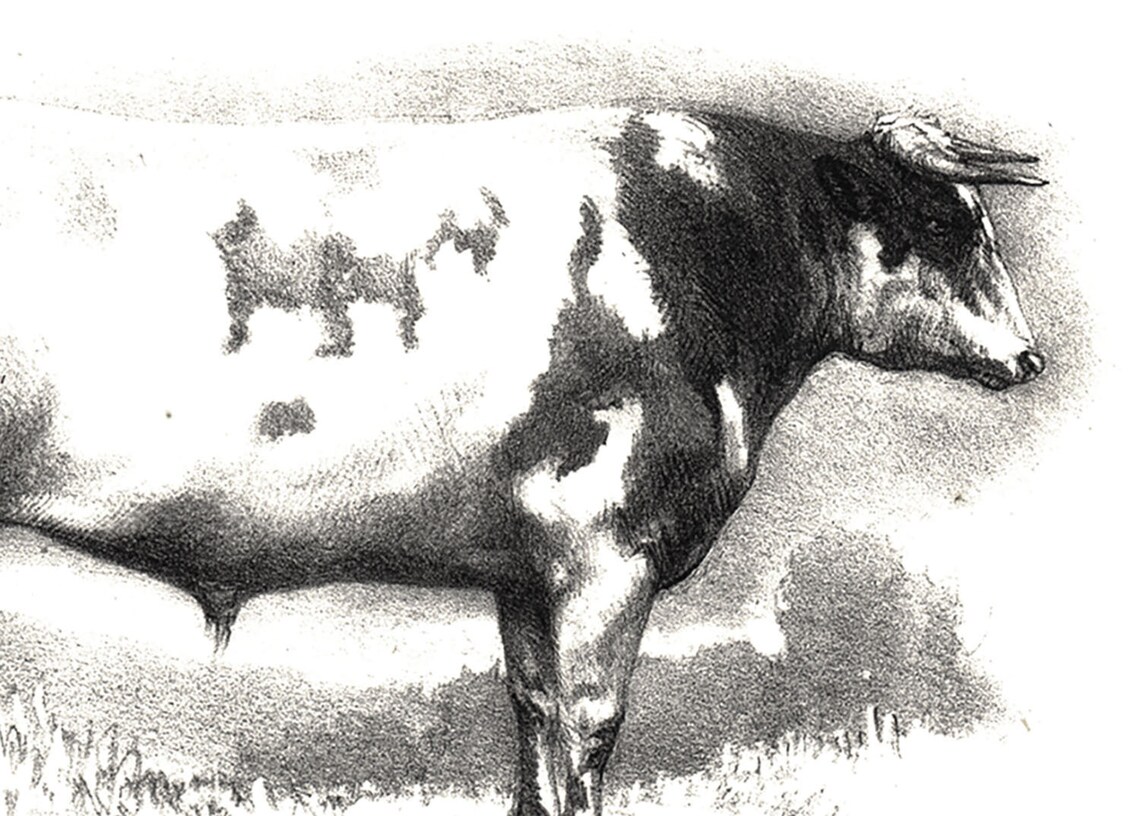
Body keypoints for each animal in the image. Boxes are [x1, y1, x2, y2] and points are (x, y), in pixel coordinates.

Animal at [0, 99, 1045, 815]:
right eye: (945, 225)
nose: (1031, 357)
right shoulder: (608, 550)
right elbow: (589, 726)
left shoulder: (525, 569)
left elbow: (535, 718)